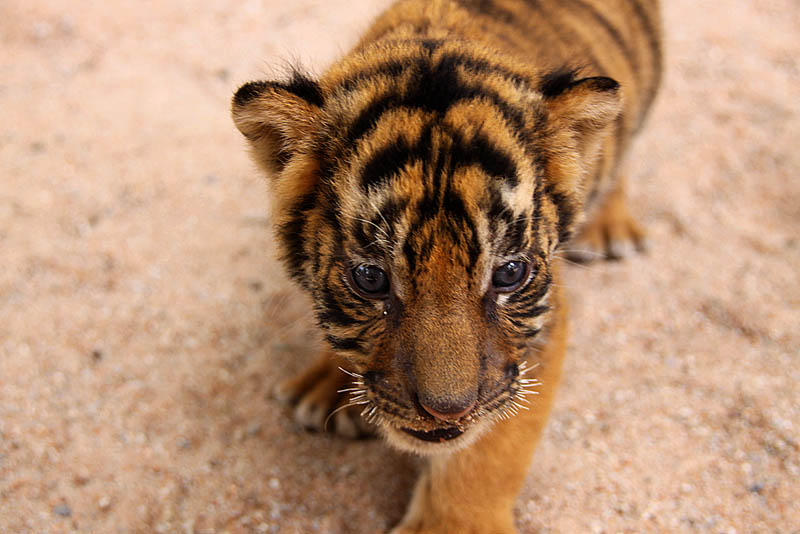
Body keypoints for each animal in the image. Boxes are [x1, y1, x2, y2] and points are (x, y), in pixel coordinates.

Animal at [231, 0, 661, 532]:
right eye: (370, 279)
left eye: (509, 274)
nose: (446, 412)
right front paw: (328, 387)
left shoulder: (539, 327)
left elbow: (493, 448)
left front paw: (453, 521)